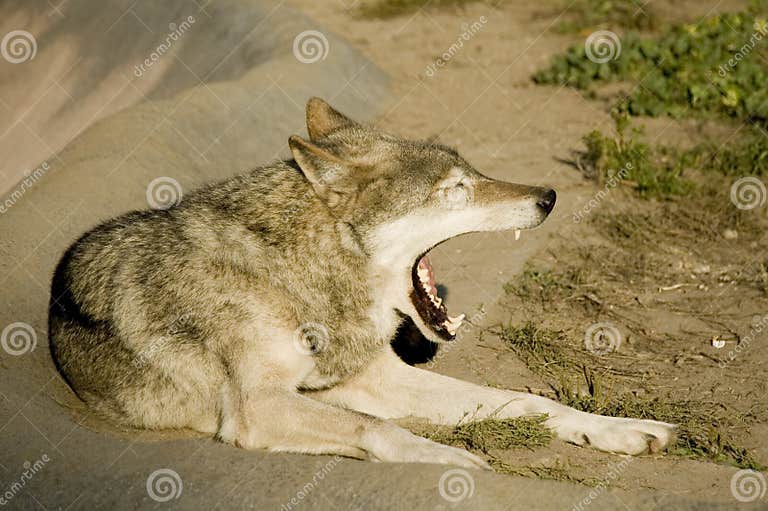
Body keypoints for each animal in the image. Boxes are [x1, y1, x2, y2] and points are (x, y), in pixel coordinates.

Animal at [49, 98, 675, 468]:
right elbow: (380, 431)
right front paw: (461, 466)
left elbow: (522, 400)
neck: (301, 280)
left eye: (476, 173)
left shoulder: (374, 378)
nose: (548, 197)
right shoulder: (258, 406)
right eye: (455, 189)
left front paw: (618, 429)